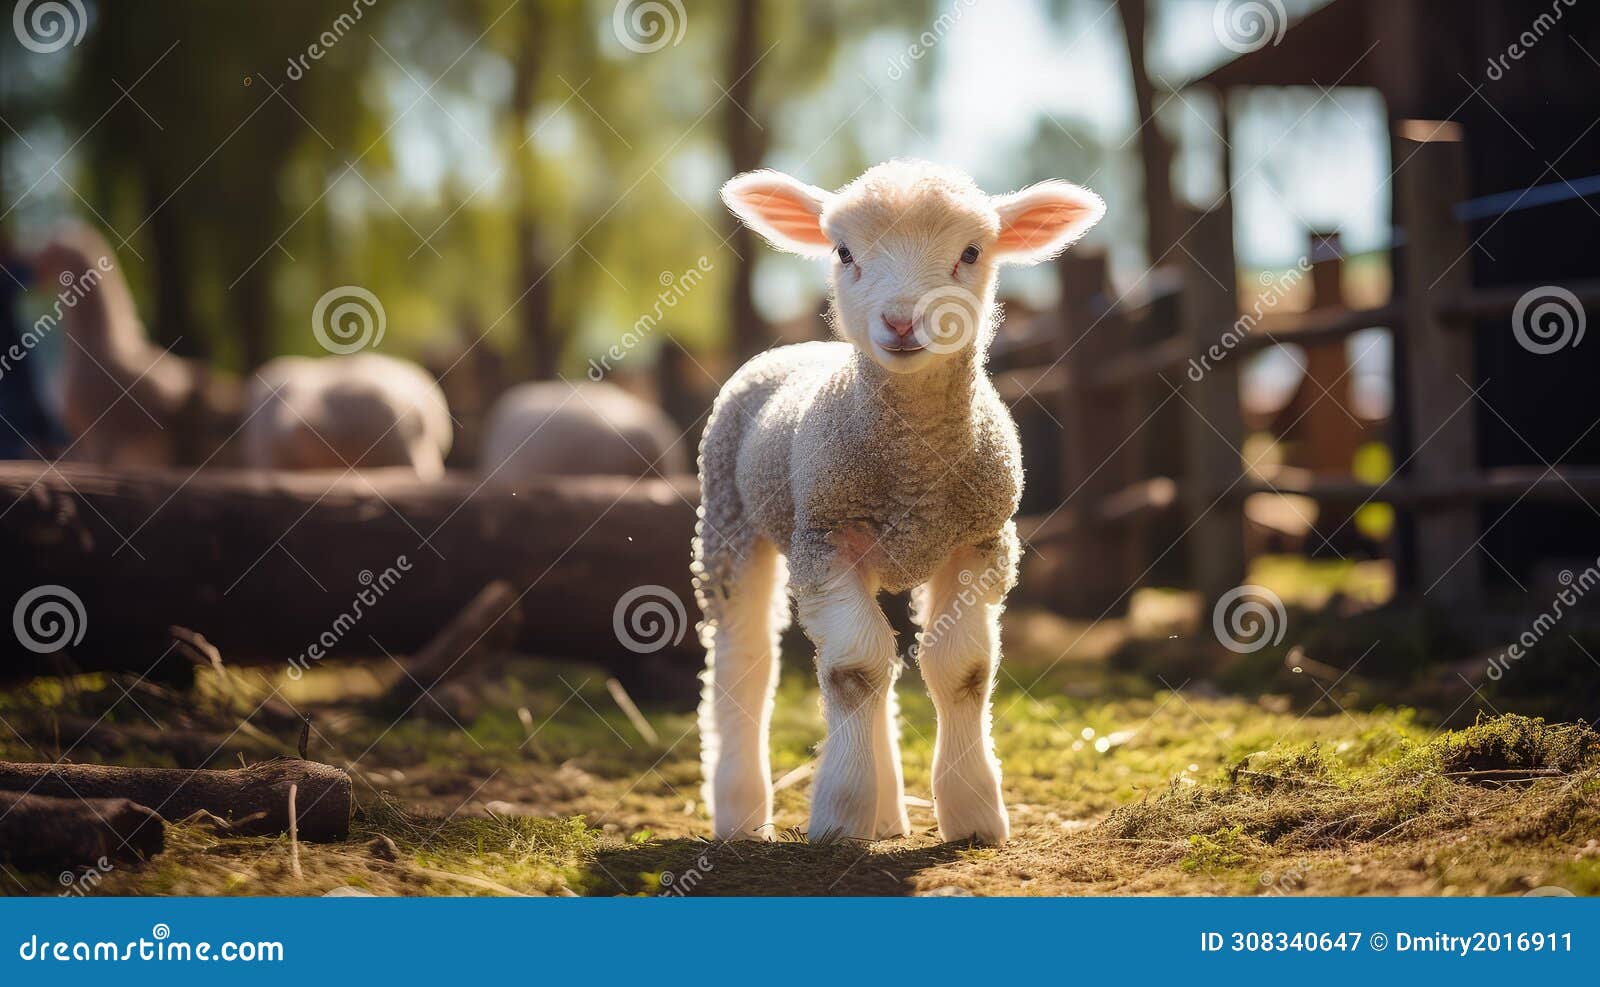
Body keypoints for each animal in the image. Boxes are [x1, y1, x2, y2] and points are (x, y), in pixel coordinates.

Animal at [695, 160, 1104, 843]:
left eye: (972, 252)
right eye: (843, 252)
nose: (904, 321)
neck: (912, 465)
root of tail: (797, 348)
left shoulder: (981, 540)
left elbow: (960, 669)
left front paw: (973, 814)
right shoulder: (823, 538)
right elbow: (853, 669)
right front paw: (839, 816)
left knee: (880, 669)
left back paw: (887, 817)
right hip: (729, 518)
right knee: (744, 659)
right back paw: (742, 814)